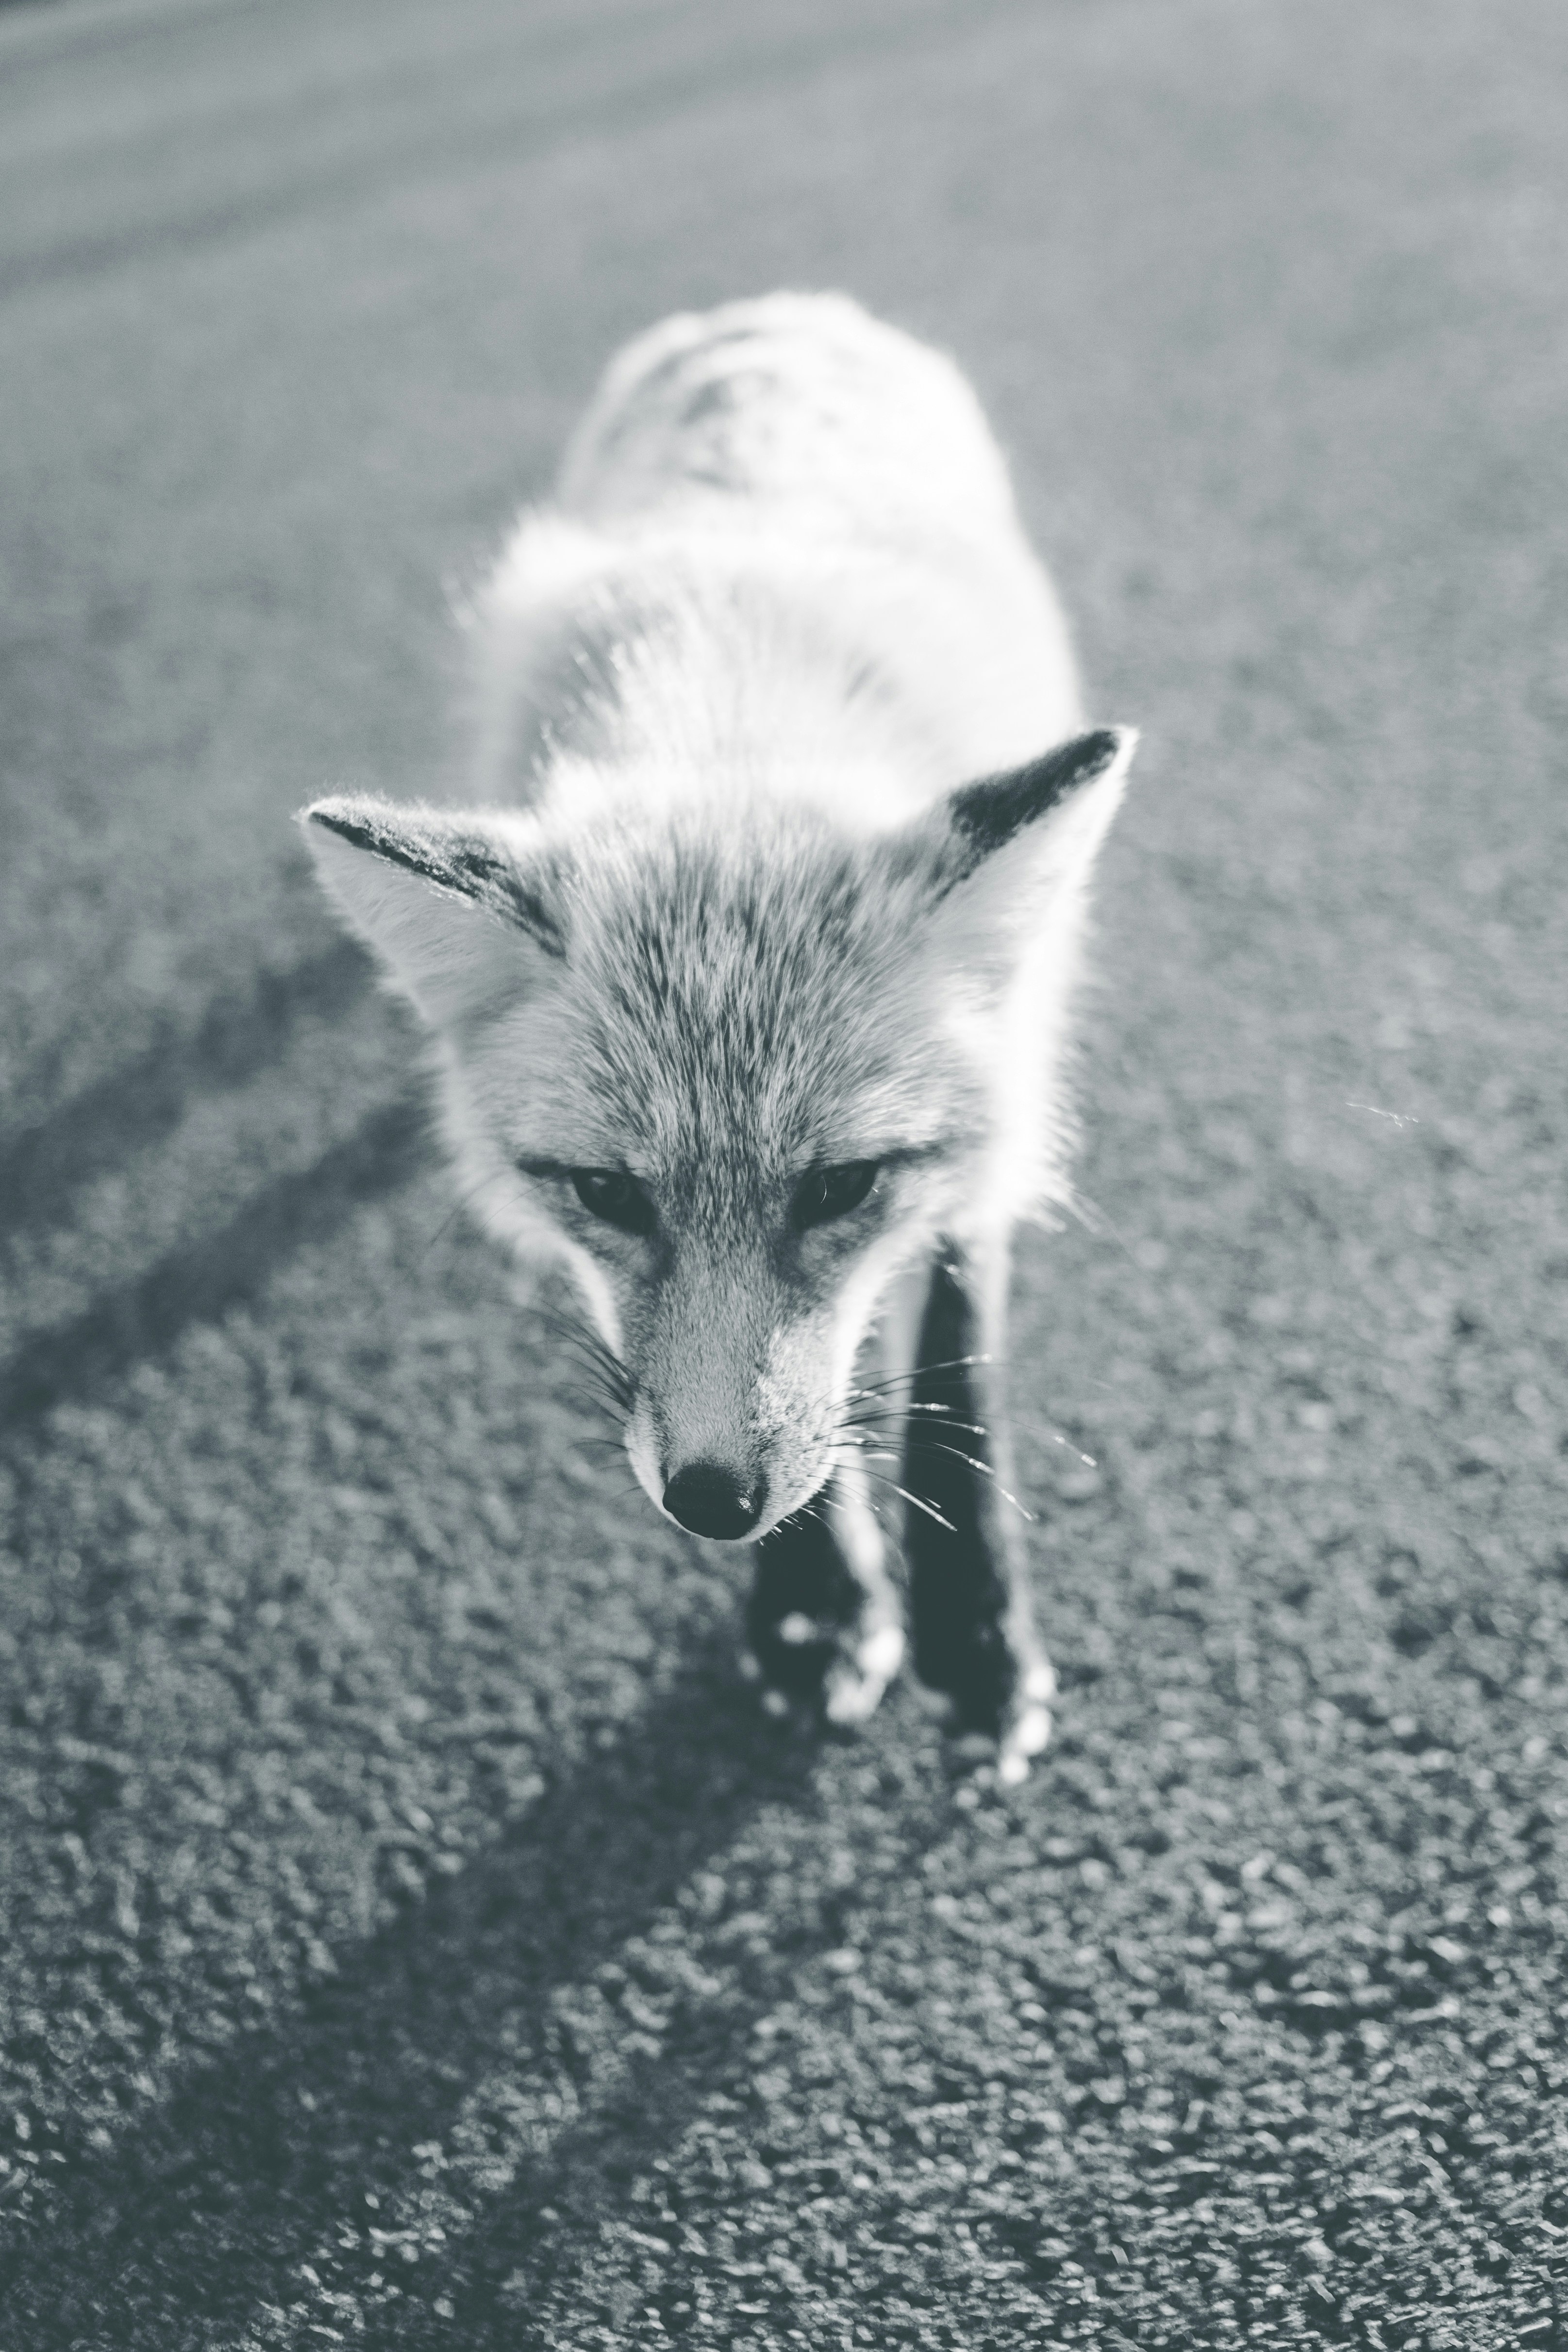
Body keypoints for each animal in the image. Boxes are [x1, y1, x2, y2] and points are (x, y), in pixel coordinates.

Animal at [302, 292, 1135, 1785]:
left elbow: (950, 1345)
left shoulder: (1013, 1060)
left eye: (841, 1187)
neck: (739, 717)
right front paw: (814, 1598)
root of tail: (777, 312)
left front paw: (974, 1630)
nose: (709, 1502)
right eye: (605, 1193)